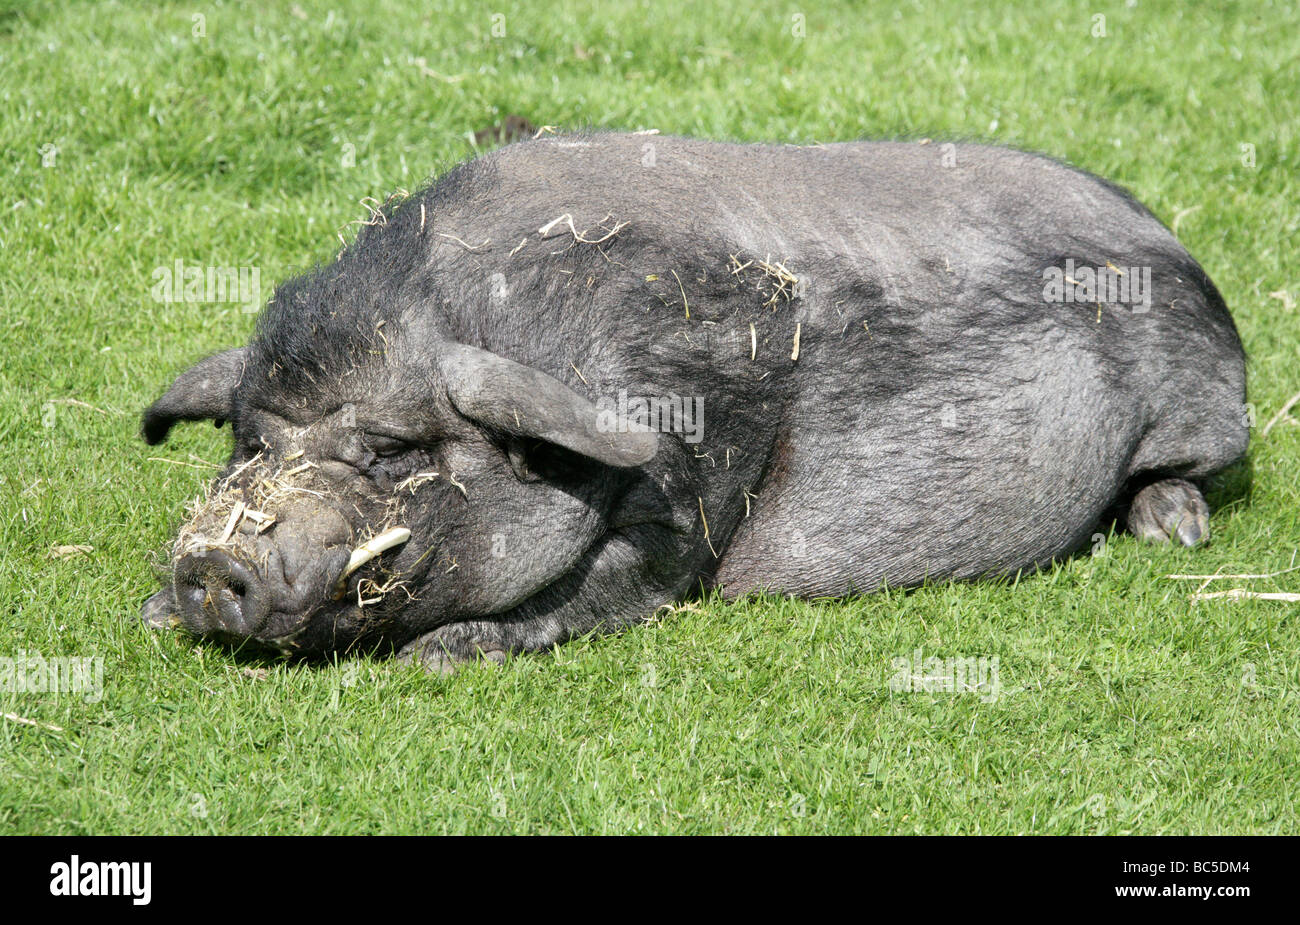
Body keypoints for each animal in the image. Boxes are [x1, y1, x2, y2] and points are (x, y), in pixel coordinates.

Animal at [140, 134, 1248, 671]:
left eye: (395, 450)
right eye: (246, 440)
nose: (211, 562)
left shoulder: (704, 467)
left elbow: (617, 583)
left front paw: (435, 660)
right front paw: (152, 615)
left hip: (1208, 406)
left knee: (1186, 471)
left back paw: (1174, 529)